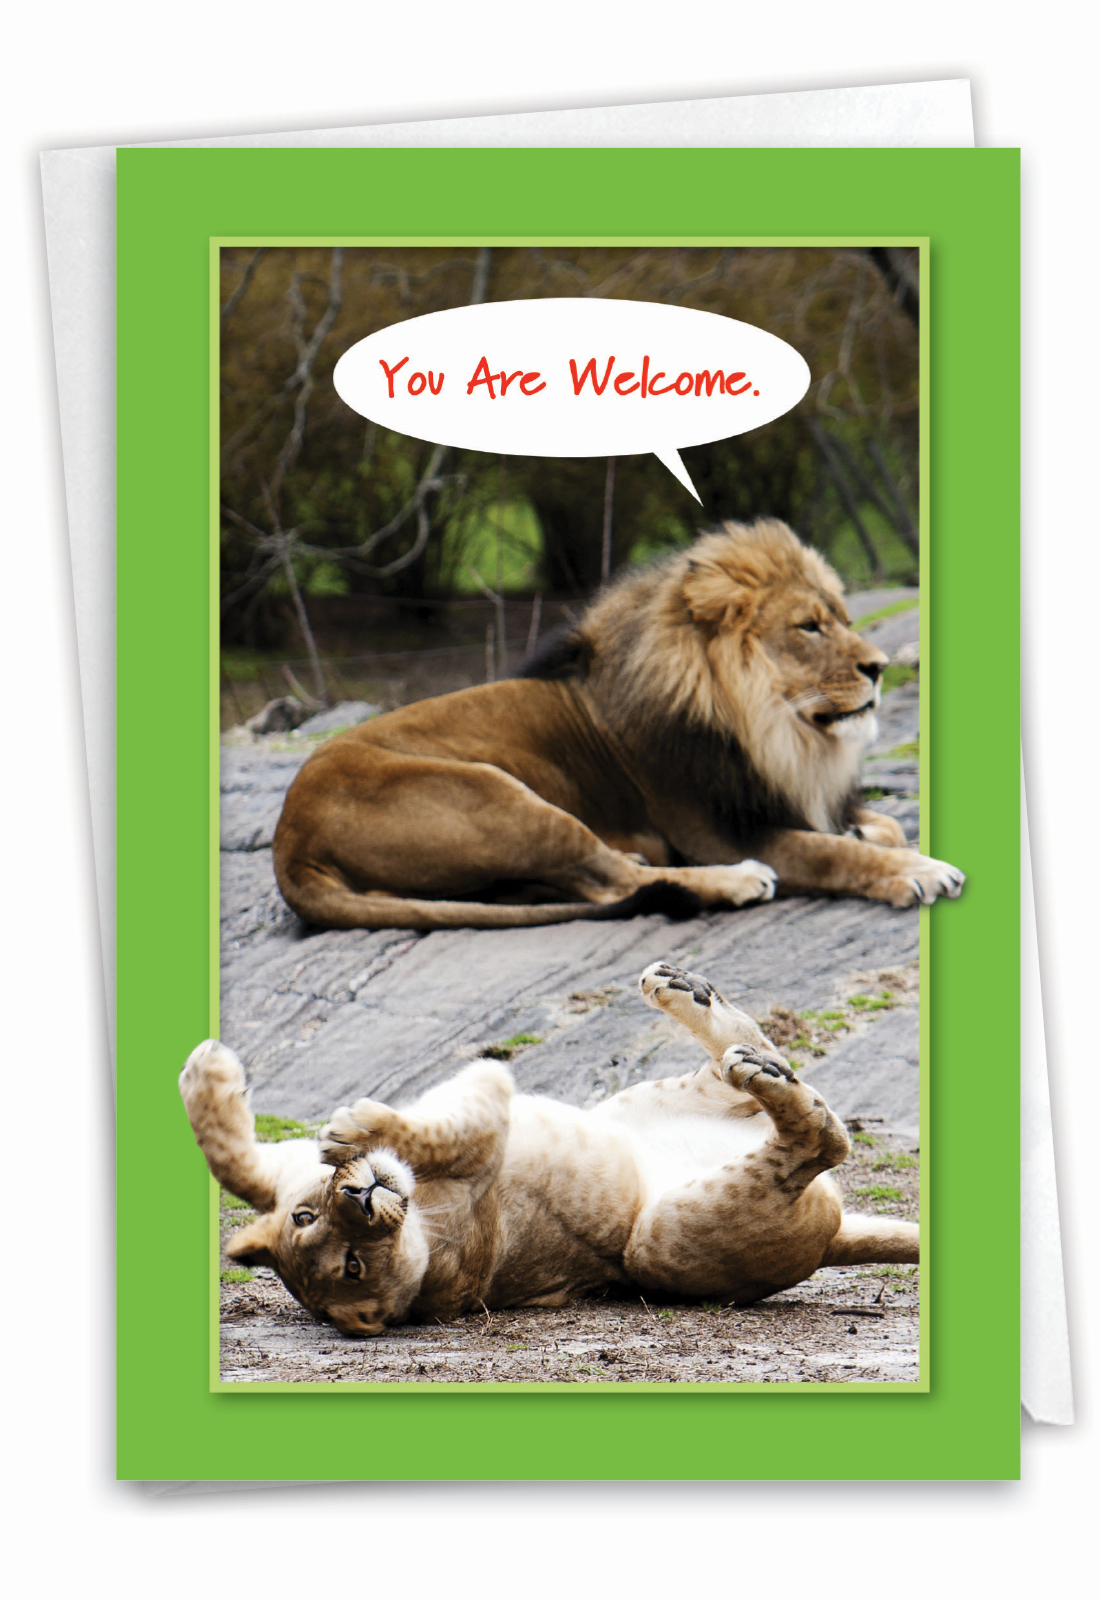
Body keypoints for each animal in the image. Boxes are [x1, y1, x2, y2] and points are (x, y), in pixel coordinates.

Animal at [181, 962, 919, 1337]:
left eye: (308, 1217)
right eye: (351, 1267)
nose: (360, 1195)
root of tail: (832, 1241)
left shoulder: (284, 1172)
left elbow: (233, 1161)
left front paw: (206, 1071)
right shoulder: (483, 1145)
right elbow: (469, 1110)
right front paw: (361, 1128)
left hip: (641, 1104)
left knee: (752, 1052)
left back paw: (684, 989)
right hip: (657, 1241)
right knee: (823, 1137)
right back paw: (757, 1071)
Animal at [272, 519, 963, 930]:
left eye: (843, 617)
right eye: (808, 627)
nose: (879, 667)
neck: (775, 728)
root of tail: (289, 843)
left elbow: (876, 826)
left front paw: (878, 834)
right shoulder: (716, 830)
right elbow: (830, 852)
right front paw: (917, 871)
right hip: (498, 796)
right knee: (616, 881)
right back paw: (735, 881)